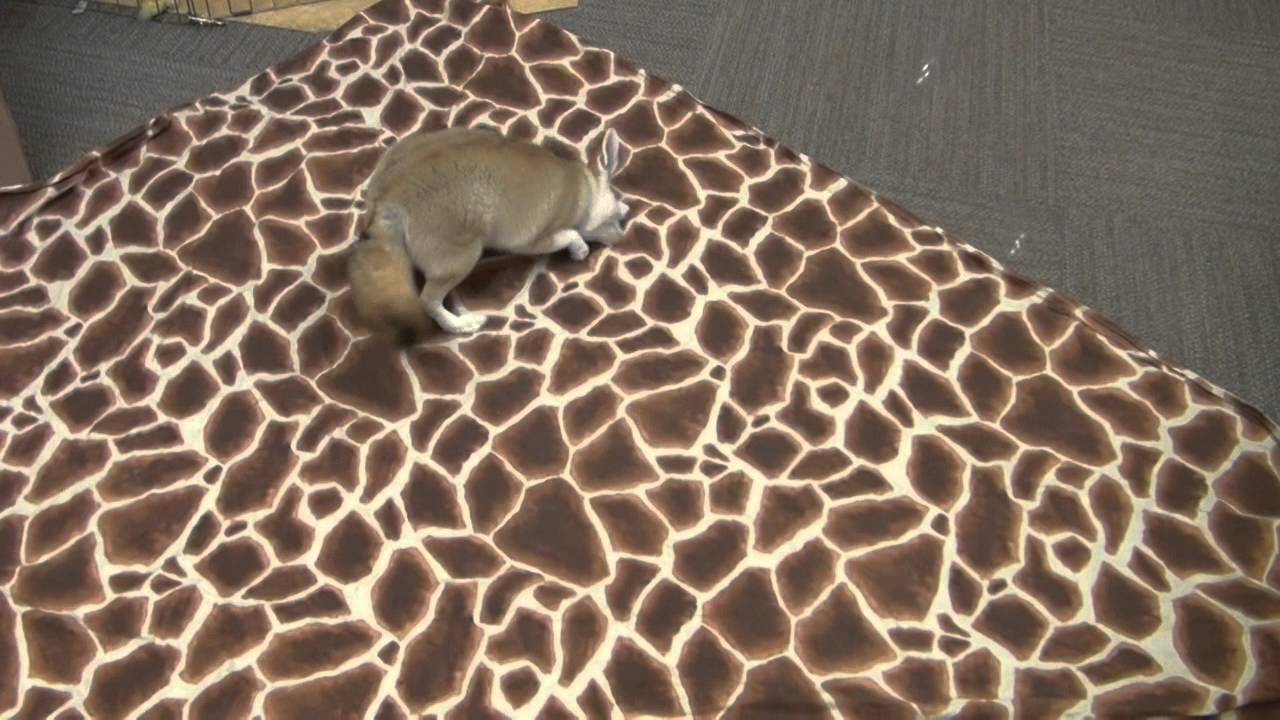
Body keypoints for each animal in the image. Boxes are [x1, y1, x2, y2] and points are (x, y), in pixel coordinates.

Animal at [347, 126, 629, 342]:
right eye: (614, 222)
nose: (623, 238)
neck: (585, 189)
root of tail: (387, 197)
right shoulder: (535, 239)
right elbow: (570, 234)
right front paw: (580, 248)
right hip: (462, 255)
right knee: (428, 300)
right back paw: (460, 325)